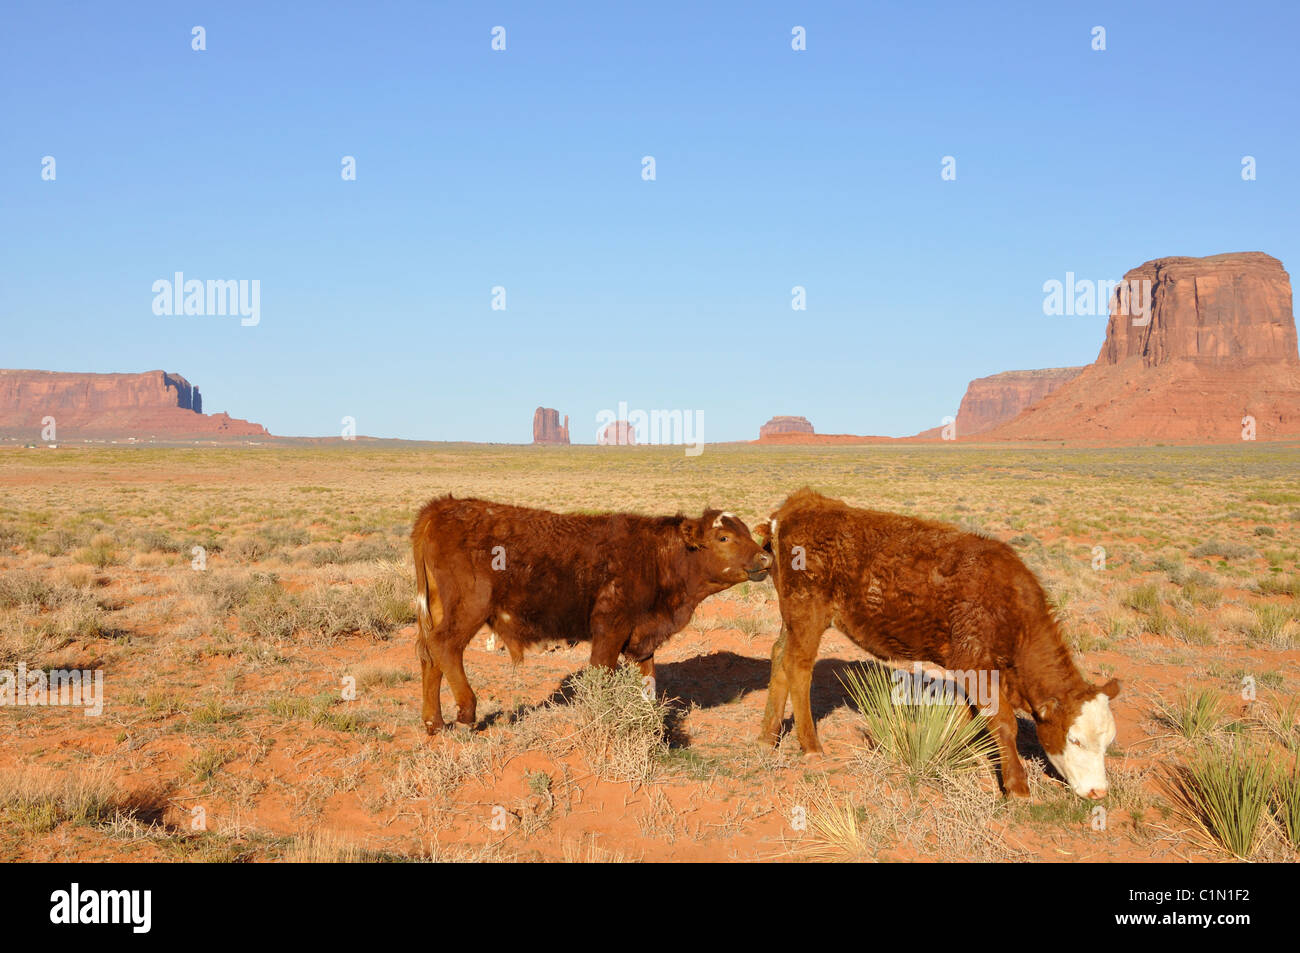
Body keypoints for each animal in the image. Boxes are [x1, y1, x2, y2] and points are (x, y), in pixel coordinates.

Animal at [410, 495, 772, 733]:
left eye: (747, 533)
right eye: (723, 537)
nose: (766, 559)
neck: (656, 556)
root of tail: (441, 508)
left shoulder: (643, 638)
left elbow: (648, 682)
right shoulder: (609, 631)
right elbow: (601, 677)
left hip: (440, 609)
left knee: (429, 655)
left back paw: (433, 723)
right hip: (469, 608)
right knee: (445, 647)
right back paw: (466, 714)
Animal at [756, 488, 1119, 799]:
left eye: (1107, 743)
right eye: (1074, 739)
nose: (1098, 792)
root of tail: (799, 504)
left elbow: (969, 720)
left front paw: (950, 750)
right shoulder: (974, 663)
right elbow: (1004, 722)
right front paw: (1017, 787)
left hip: (792, 616)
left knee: (779, 656)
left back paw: (767, 736)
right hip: (808, 611)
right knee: (798, 667)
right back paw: (810, 745)